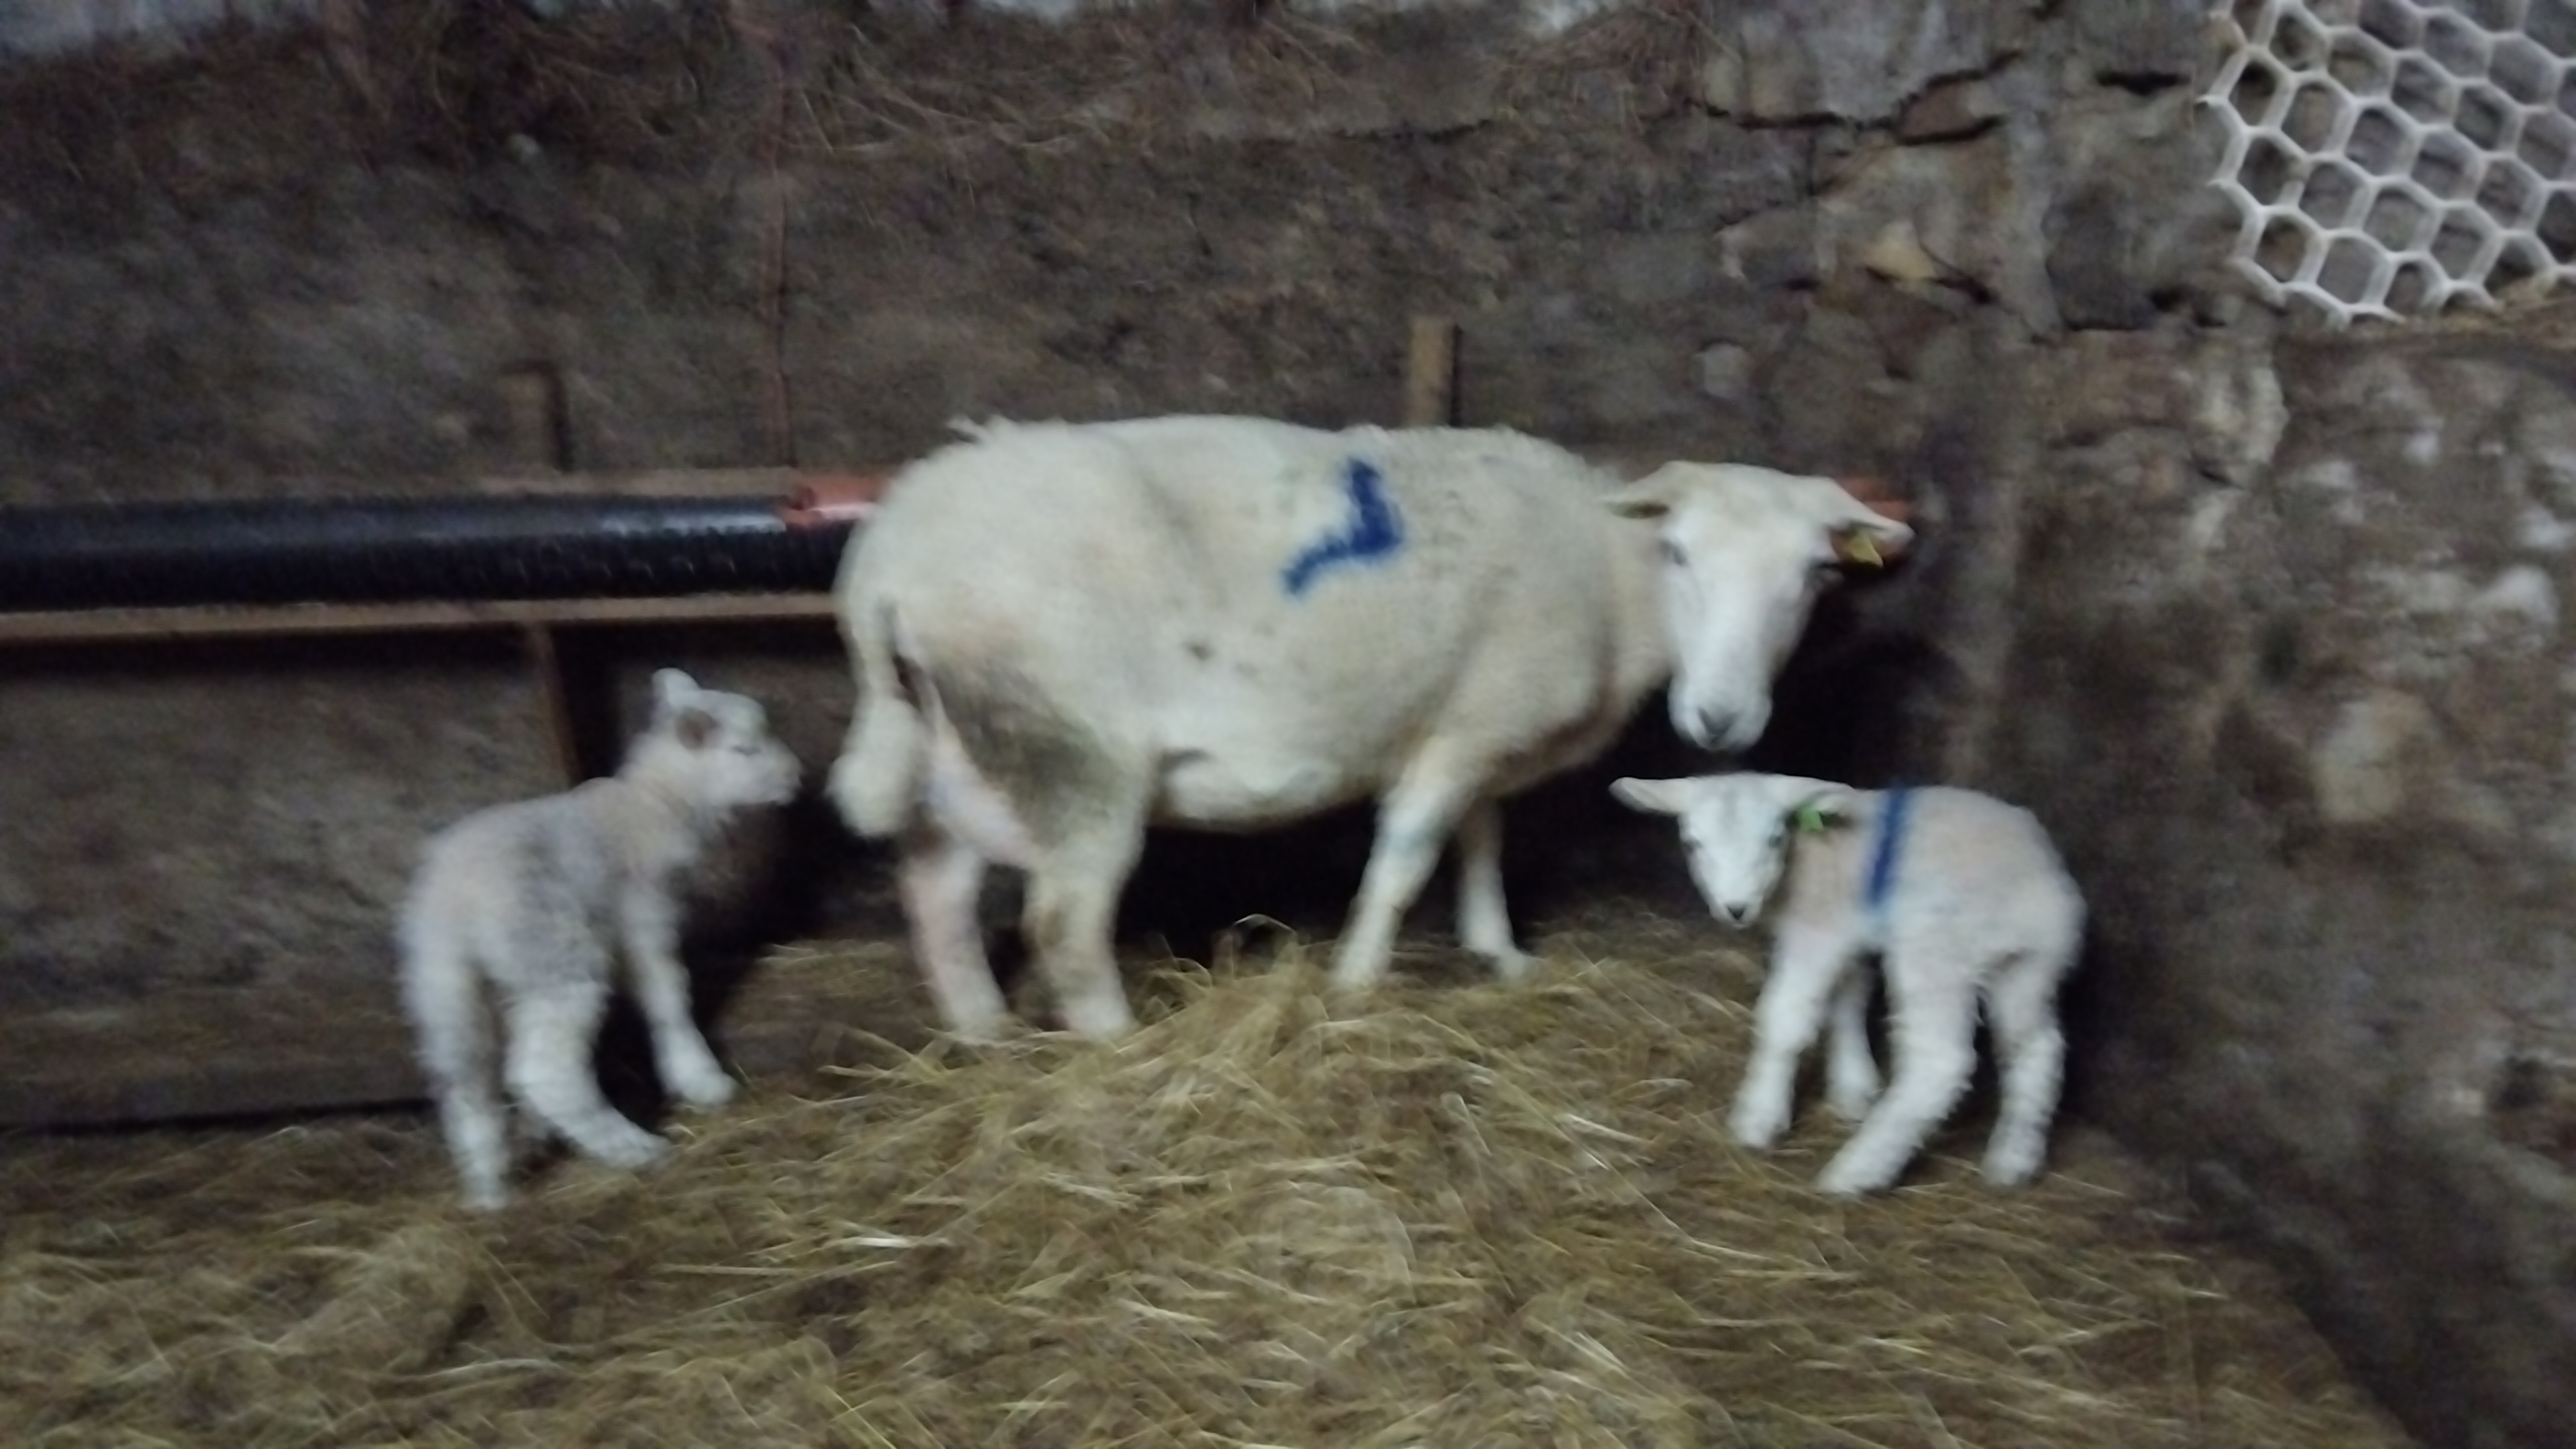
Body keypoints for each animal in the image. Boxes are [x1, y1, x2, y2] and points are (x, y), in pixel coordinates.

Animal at [398, 668, 802, 1210]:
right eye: (744, 750)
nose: (796, 777)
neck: (655, 805)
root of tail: (453, 900)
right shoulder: (645, 913)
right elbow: (667, 995)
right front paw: (700, 1077)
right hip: (554, 949)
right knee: (546, 1070)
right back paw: (633, 1148)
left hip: (443, 982)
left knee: (466, 1077)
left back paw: (491, 1190)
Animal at [828, 414, 1912, 1043]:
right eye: (1679, 553)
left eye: (1816, 573)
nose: (1722, 718)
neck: (1609, 576)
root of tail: (892, 554)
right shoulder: (1464, 733)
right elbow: (1405, 860)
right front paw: (1354, 985)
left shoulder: (1473, 719)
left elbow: (1481, 840)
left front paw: (1497, 952)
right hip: (1071, 747)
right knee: (1061, 920)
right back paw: (1117, 1042)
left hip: (957, 743)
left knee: (935, 892)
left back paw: (984, 1035)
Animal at [1611, 773, 2085, 1198]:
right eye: (1694, 844)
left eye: (1774, 840)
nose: (1736, 909)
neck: (1809, 858)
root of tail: (2037, 876)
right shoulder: (1850, 934)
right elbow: (1847, 1002)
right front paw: (1852, 1088)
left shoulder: (1817, 932)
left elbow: (1786, 1019)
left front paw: (1759, 1117)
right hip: (2031, 965)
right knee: (2035, 1047)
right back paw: (2013, 1159)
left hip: (1936, 952)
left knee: (1939, 1063)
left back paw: (1859, 1171)